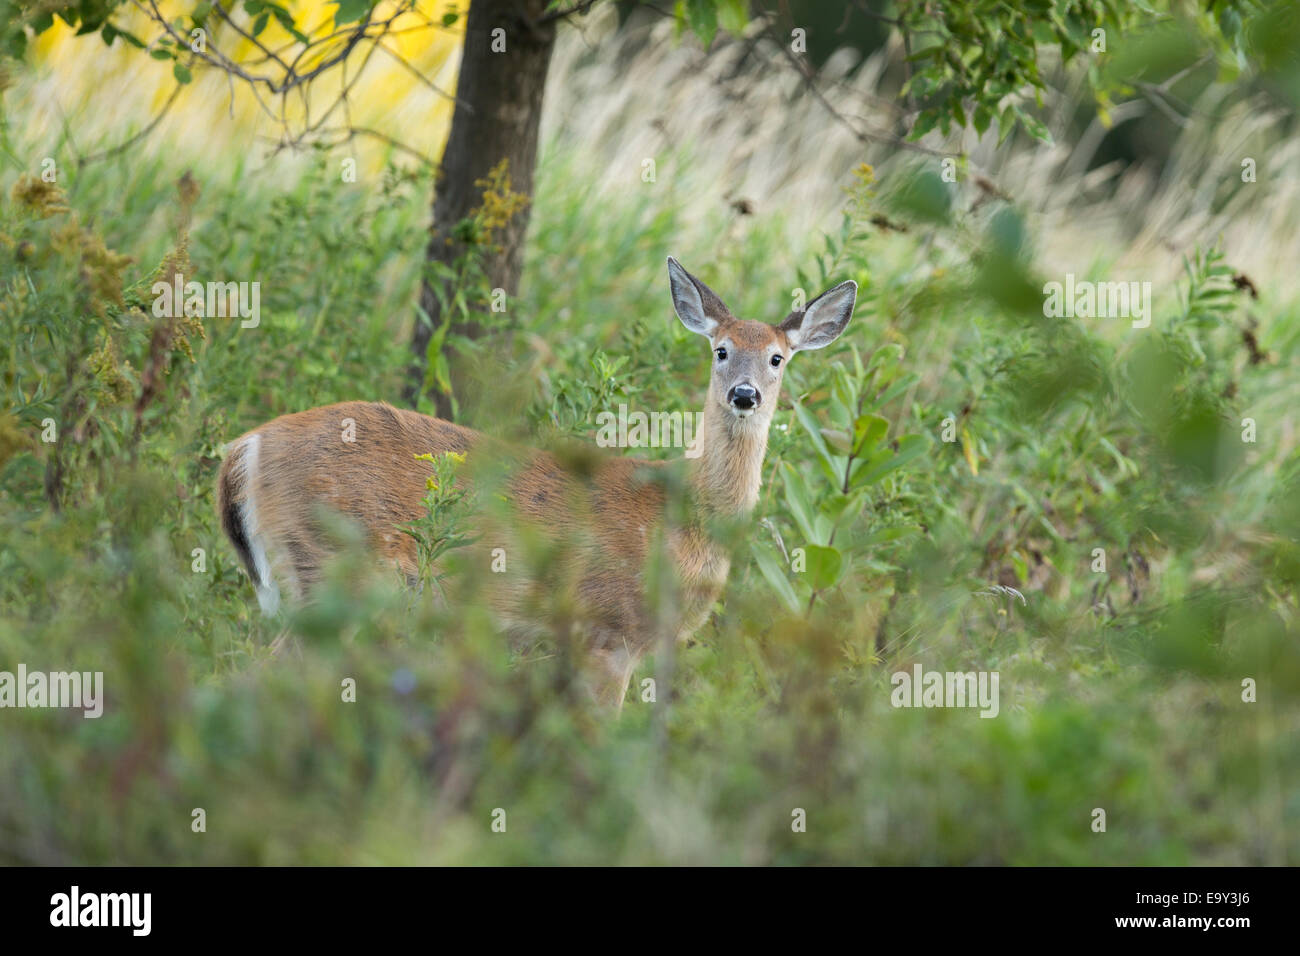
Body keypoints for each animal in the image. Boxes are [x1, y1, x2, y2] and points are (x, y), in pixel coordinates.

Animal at [216, 257, 856, 706]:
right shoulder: (610, 631)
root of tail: (243, 449)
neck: (684, 518)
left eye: (776, 358)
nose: (744, 395)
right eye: (721, 350)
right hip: (328, 570)